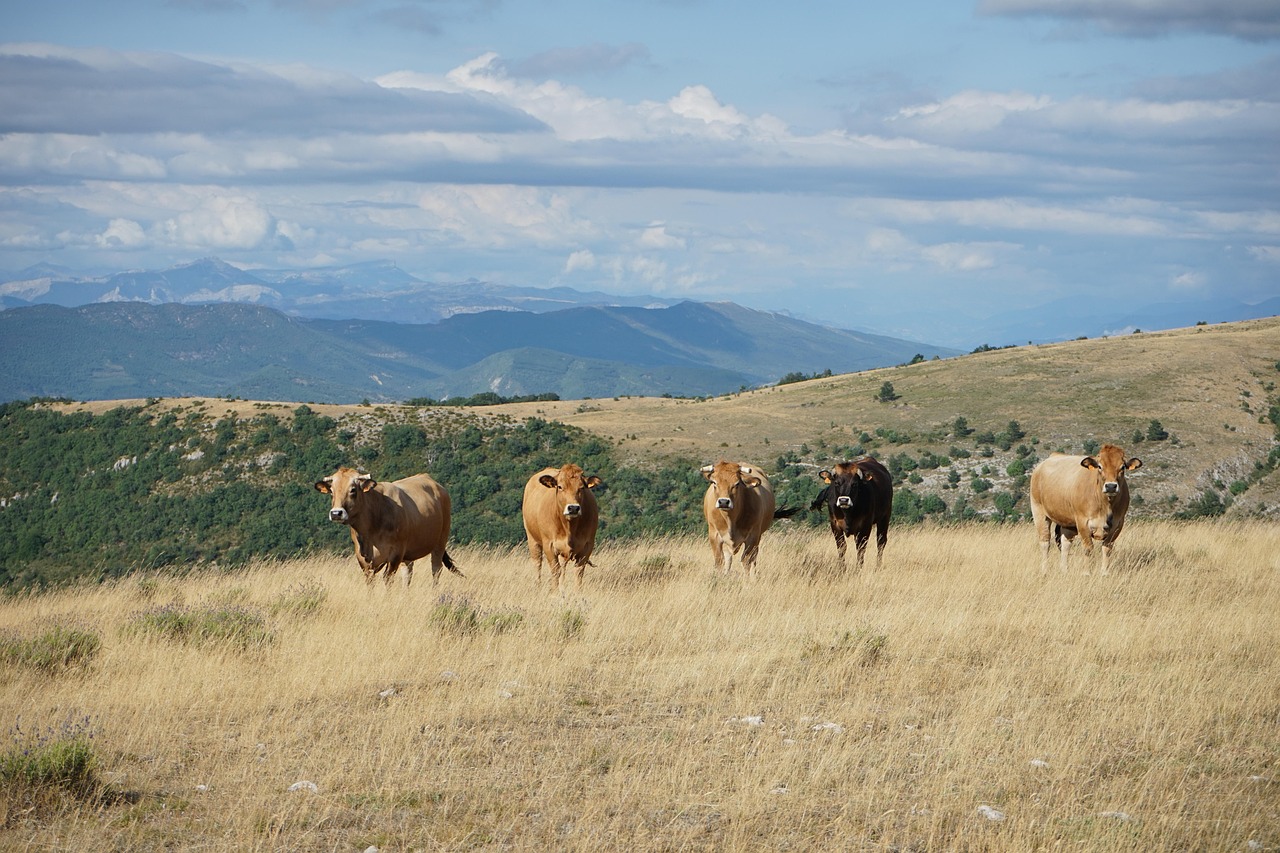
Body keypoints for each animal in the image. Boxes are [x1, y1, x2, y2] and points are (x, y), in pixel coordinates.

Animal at [315, 466, 462, 587]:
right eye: (331, 491)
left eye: (353, 490)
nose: (336, 513)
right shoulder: (362, 558)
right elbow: (370, 582)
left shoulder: (396, 553)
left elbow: (387, 580)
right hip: (408, 552)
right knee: (408, 573)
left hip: (440, 541)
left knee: (436, 569)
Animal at [521, 463, 603, 592]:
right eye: (560, 487)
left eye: (581, 487)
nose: (573, 508)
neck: (570, 528)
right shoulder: (549, 545)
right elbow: (555, 571)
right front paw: (554, 592)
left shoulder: (587, 545)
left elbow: (578, 572)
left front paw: (577, 592)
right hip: (532, 539)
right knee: (538, 563)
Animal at [1029, 444, 1142, 575]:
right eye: (1099, 466)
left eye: (1122, 466)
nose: (1111, 486)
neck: (1105, 506)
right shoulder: (1082, 522)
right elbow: (1088, 548)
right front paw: (1087, 572)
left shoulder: (1117, 524)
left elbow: (1107, 548)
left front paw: (1105, 572)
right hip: (1039, 513)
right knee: (1045, 542)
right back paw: (1045, 570)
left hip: (1068, 523)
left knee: (1065, 543)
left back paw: (1064, 570)